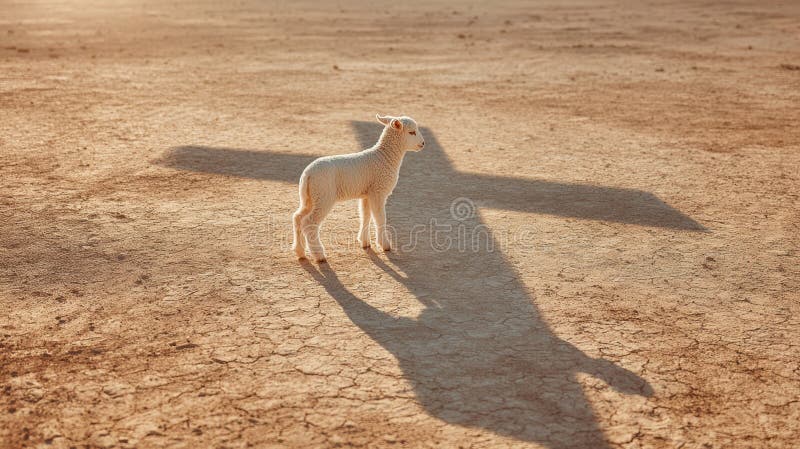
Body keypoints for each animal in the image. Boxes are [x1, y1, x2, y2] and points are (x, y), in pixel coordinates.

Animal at [292, 114, 426, 263]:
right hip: (323, 195)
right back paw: (319, 255)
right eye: (411, 132)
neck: (384, 157)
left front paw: (365, 242)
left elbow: (365, 215)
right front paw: (385, 245)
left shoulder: (367, 193)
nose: (423, 143)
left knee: (297, 218)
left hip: (309, 197)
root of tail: (307, 174)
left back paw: (300, 252)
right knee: (309, 223)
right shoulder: (378, 191)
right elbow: (380, 217)